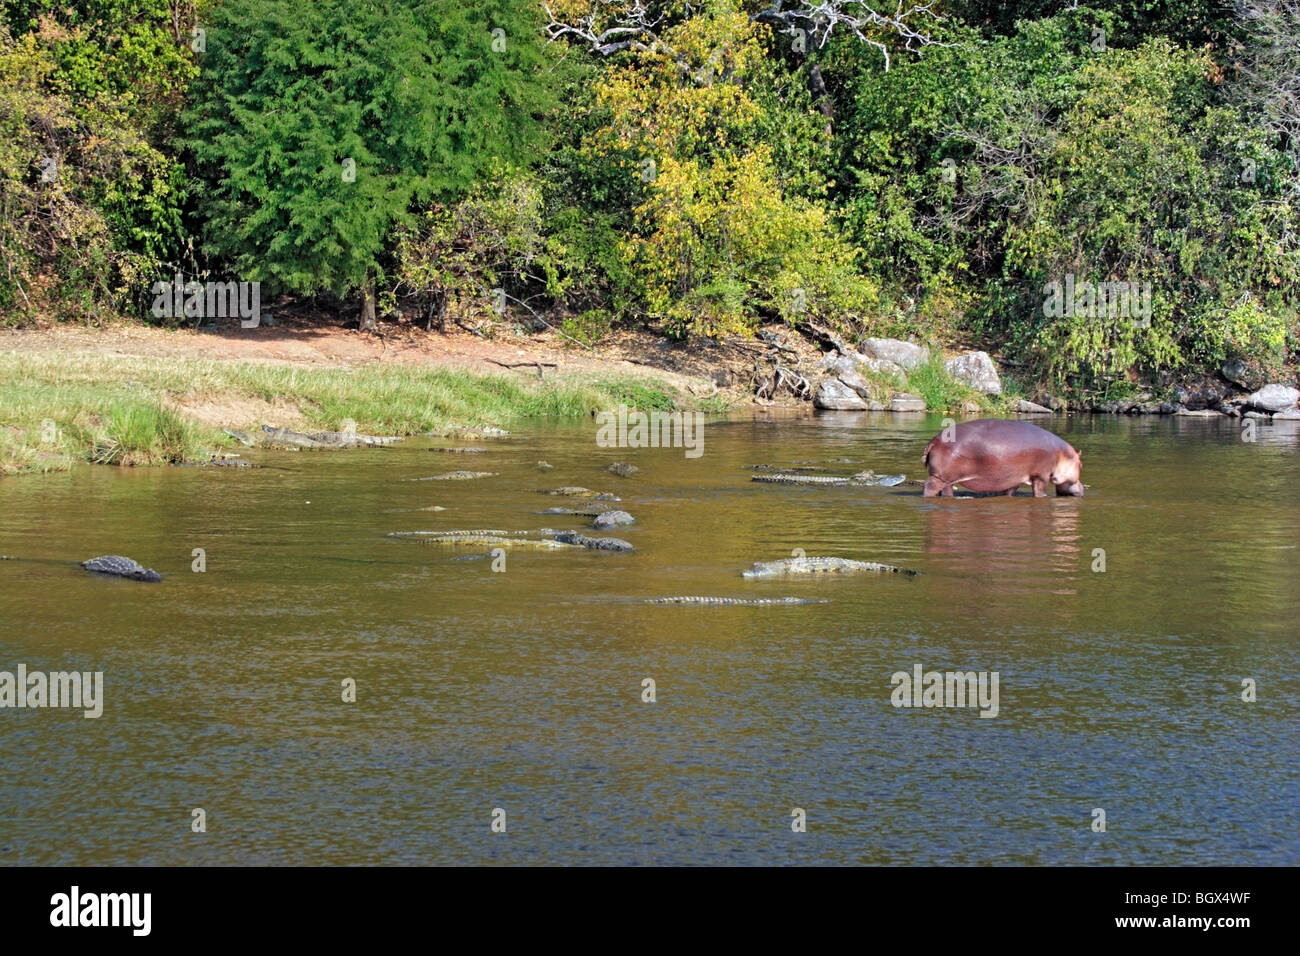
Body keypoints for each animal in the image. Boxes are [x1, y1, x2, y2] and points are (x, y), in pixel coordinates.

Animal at [922, 419, 1084, 497]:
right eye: (1081, 465)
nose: (1083, 487)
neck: (1062, 454)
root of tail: (934, 440)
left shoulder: (1014, 478)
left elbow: (1009, 492)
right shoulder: (1041, 476)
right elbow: (1039, 493)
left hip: (947, 479)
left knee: (946, 492)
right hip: (939, 477)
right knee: (928, 488)